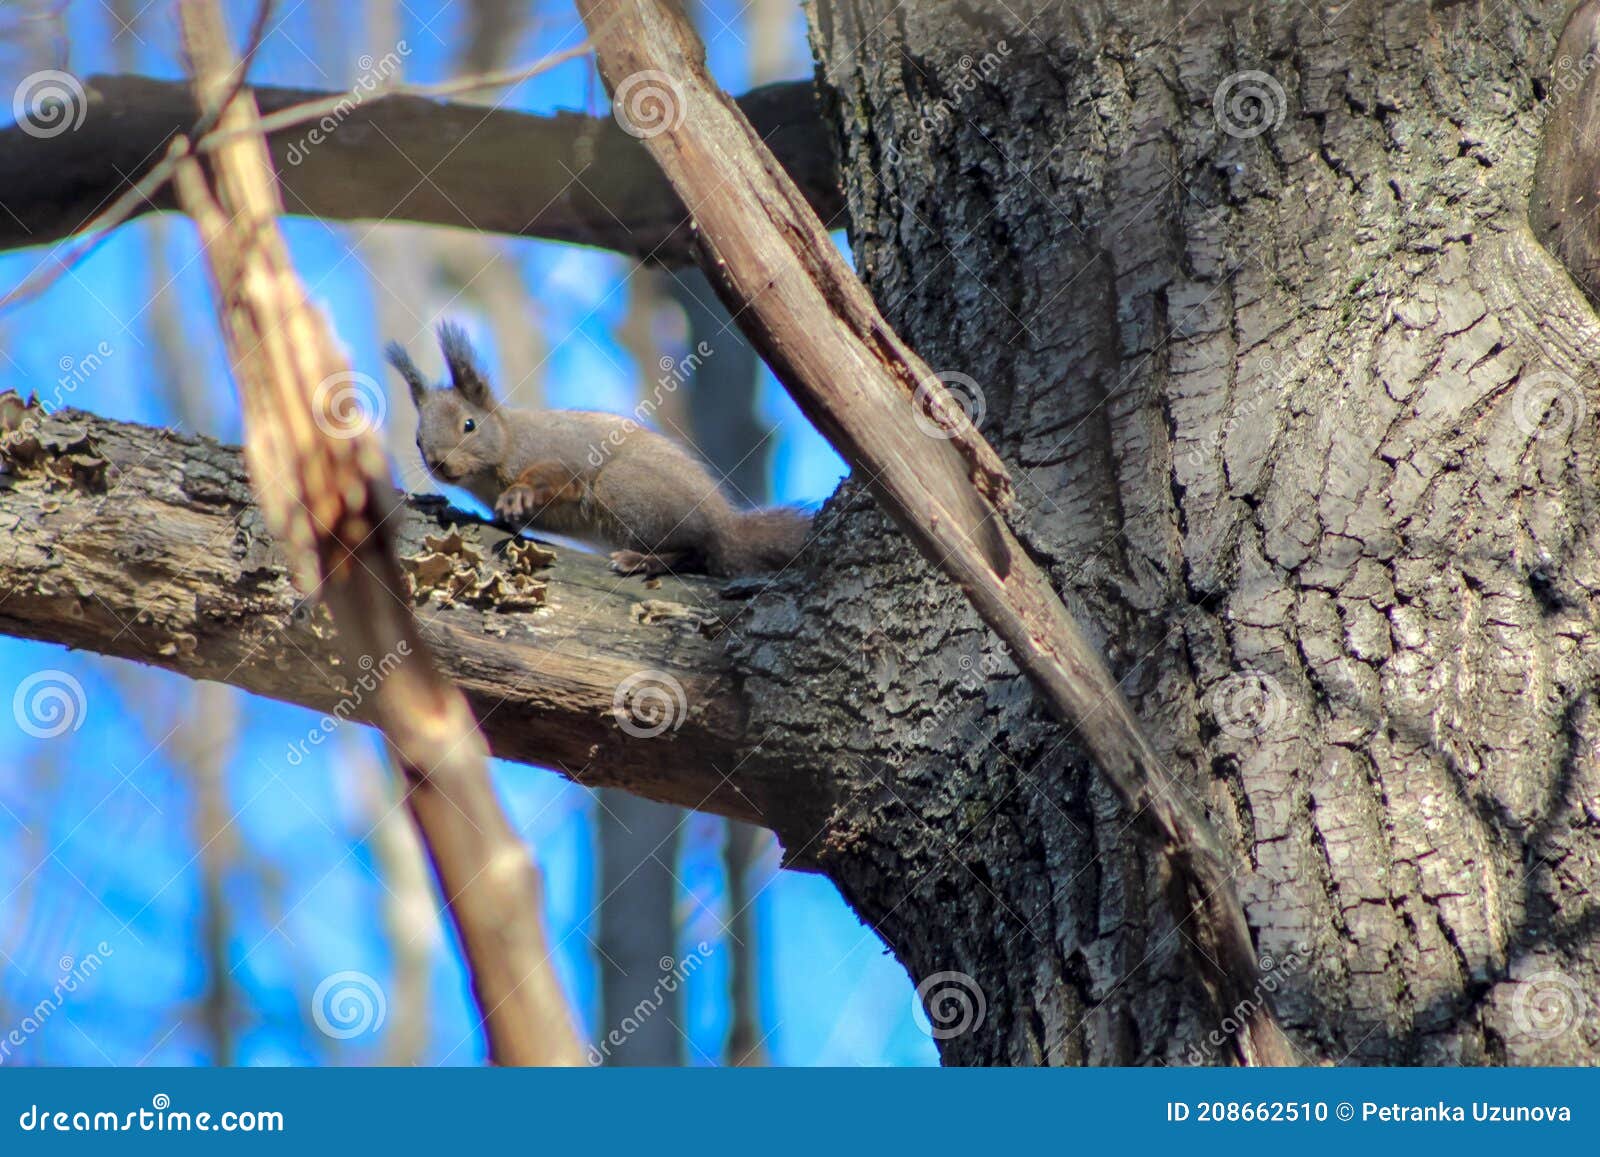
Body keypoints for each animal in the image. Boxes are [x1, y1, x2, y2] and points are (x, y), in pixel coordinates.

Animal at [385, 323, 811, 578]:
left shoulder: (554, 454)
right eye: (418, 441)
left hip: (623, 486)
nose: (439, 464)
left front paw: (519, 494)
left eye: (469, 425)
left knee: (696, 552)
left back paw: (642, 561)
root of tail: (725, 527)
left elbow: (555, 477)